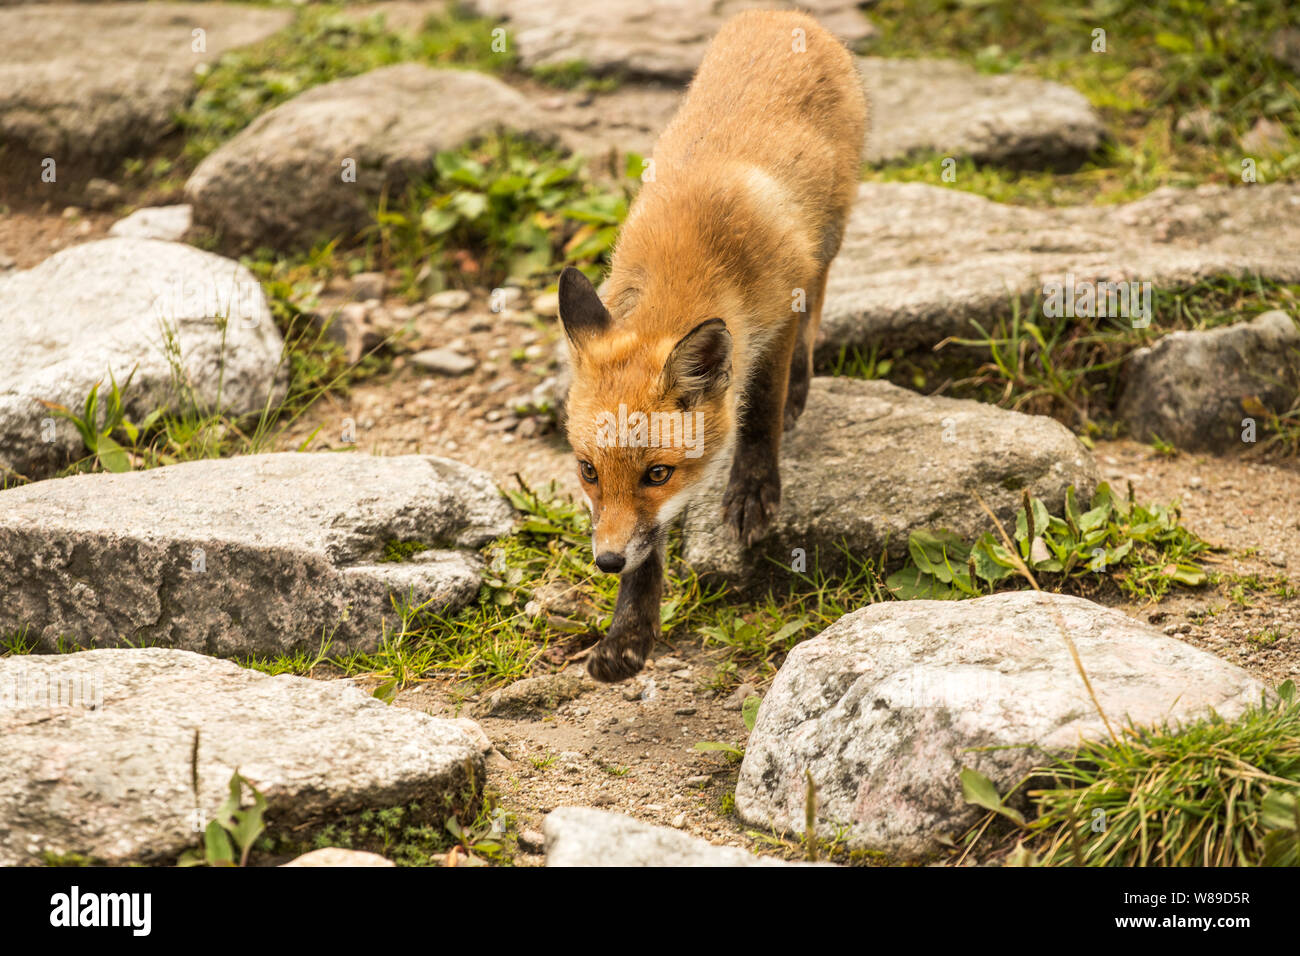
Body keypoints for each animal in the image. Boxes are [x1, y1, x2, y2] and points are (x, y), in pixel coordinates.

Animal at [557, 10, 867, 682]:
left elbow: (758, 414)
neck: (689, 261)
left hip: (829, 234)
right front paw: (629, 633)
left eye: (658, 472)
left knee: (821, 298)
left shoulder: (771, 323)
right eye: (588, 471)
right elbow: (651, 542)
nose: (605, 562)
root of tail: (785, 15)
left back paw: (802, 391)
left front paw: (753, 491)